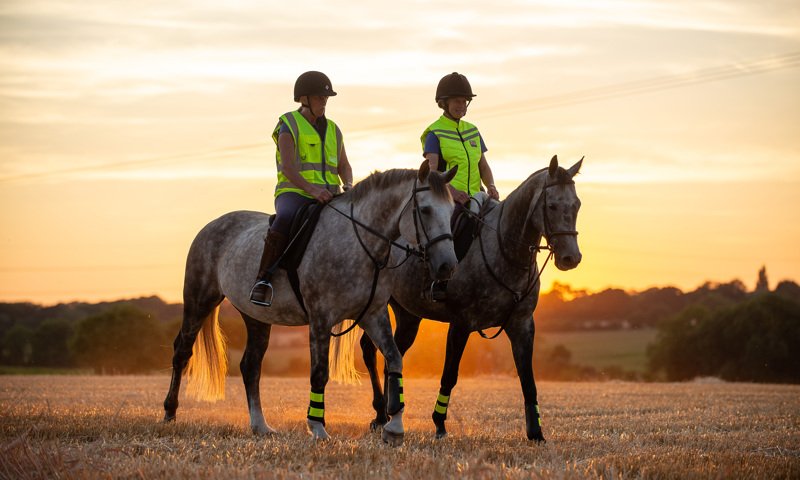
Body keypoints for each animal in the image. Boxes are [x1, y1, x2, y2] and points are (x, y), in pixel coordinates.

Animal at [162, 161, 458, 446]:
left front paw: (394, 428)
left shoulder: (373, 315)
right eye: (425, 209)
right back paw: (169, 413)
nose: (448, 266)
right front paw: (317, 428)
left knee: (250, 366)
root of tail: (211, 225)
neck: (358, 243)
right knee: (182, 352)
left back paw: (260, 426)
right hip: (199, 301)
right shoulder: (320, 318)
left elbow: (394, 360)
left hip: (256, 317)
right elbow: (319, 373)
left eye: (451, 210)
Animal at [360, 155, 583, 442]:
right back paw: (379, 414)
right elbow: (450, 375)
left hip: (408, 316)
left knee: (391, 358)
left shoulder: (522, 324)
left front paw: (536, 433)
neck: (503, 249)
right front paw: (439, 424)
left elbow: (528, 380)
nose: (571, 258)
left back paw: (390, 414)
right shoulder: (461, 324)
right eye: (552, 205)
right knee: (369, 350)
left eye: (577, 205)